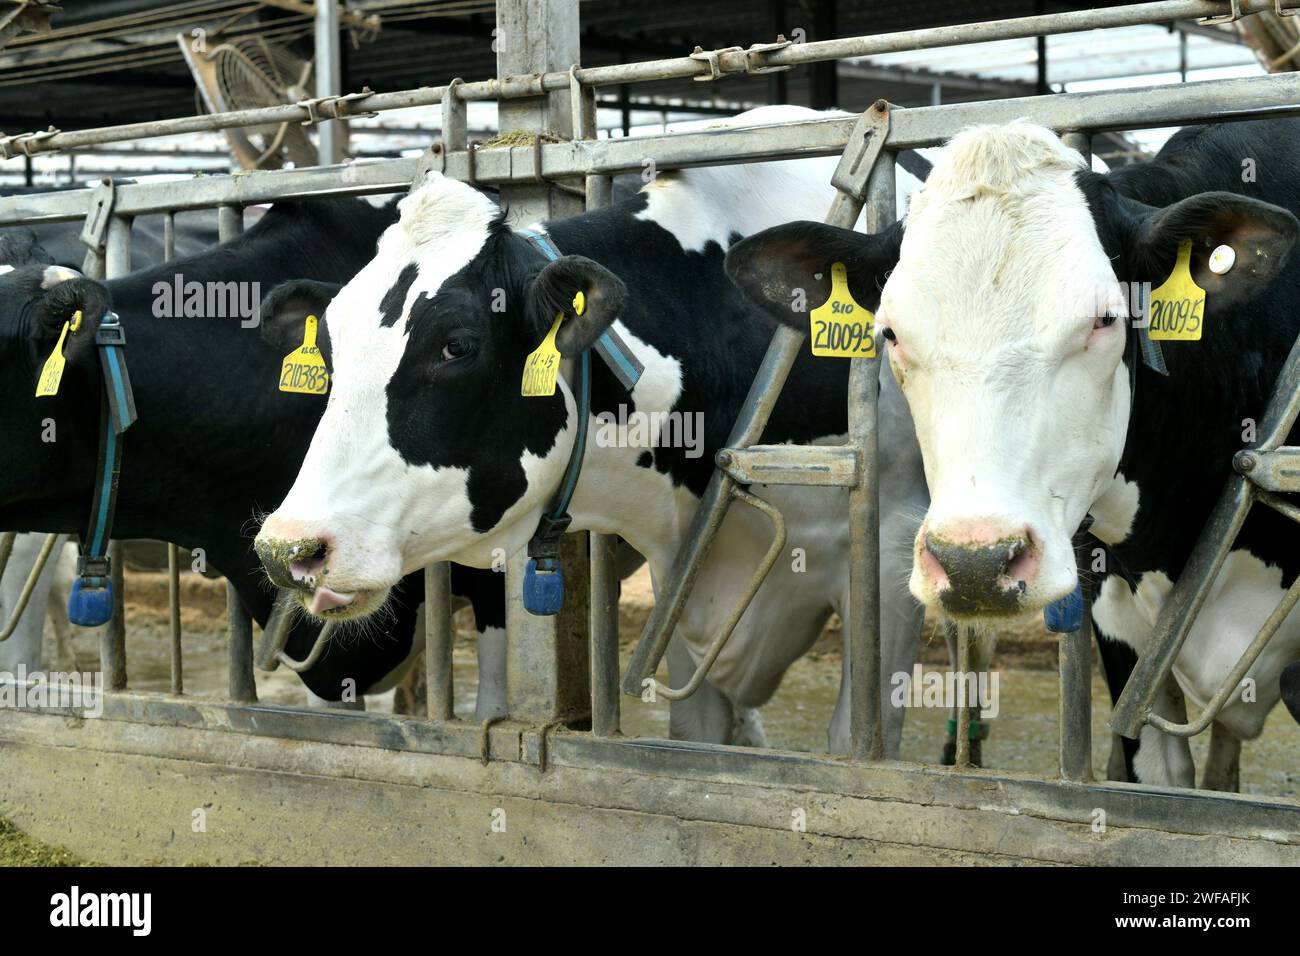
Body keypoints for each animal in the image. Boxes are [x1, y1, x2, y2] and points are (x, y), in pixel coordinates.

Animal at [253, 105, 932, 756]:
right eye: (332, 349)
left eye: (457, 345)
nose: (288, 547)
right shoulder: (677, 572)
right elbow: (698, 733)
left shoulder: (893, 546)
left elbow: (858, 742)